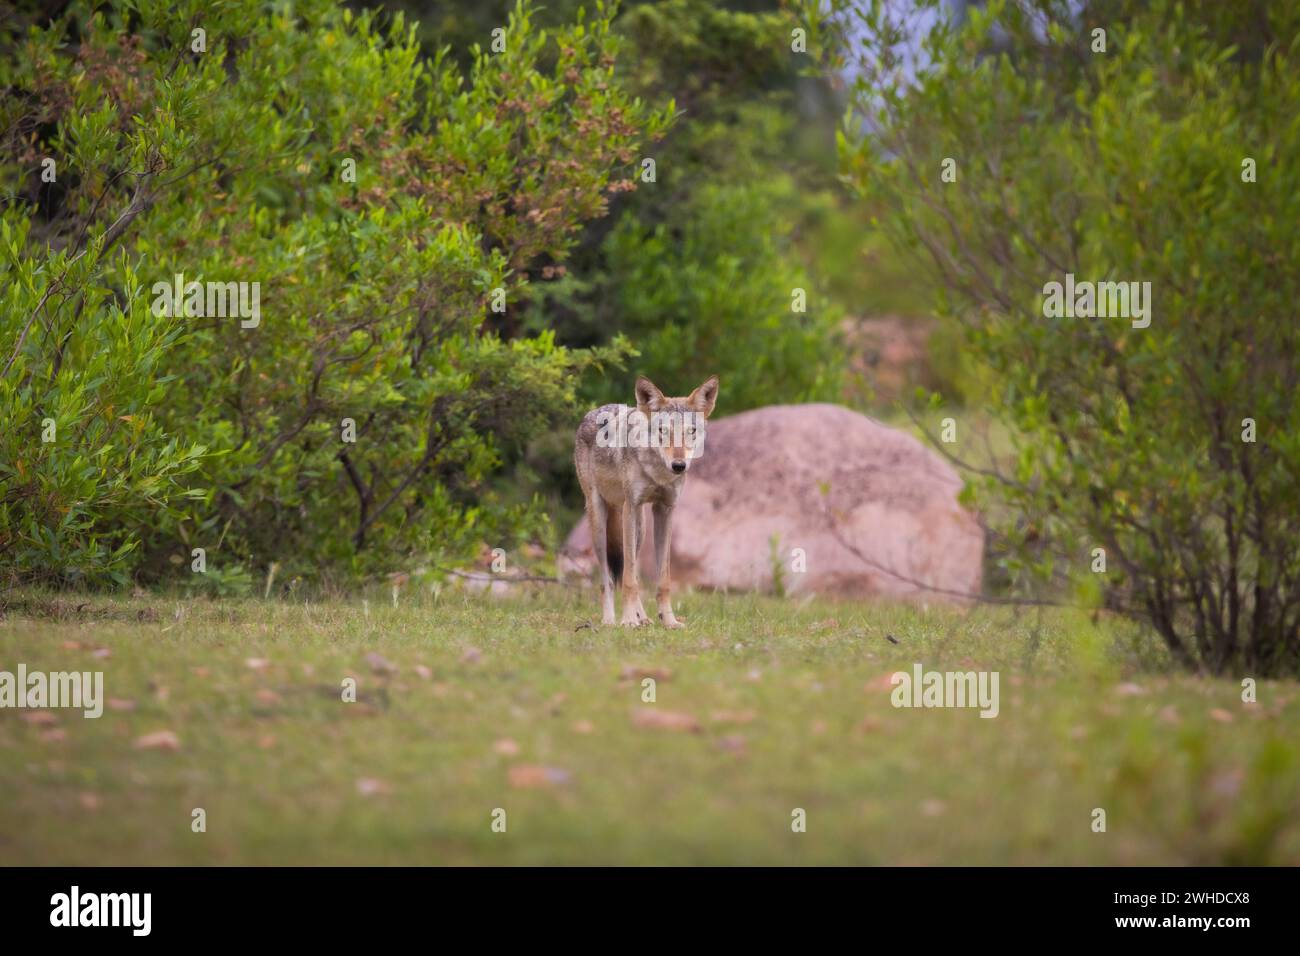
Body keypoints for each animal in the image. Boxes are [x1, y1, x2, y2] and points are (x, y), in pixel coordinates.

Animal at [574, 375, 719, 627]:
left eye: (691, 431)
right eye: (662, 430)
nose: (679, 466)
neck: (657, 471)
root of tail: (591, 413)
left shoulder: (665, 510)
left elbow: (662, 580)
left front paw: (669, 621)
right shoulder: (631, 506)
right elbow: (628, 580)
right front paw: (627, 621)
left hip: (638, 527)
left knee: (629, 570)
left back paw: (643, 618)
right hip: (601, 521)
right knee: (608, 579)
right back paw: (610, 620)